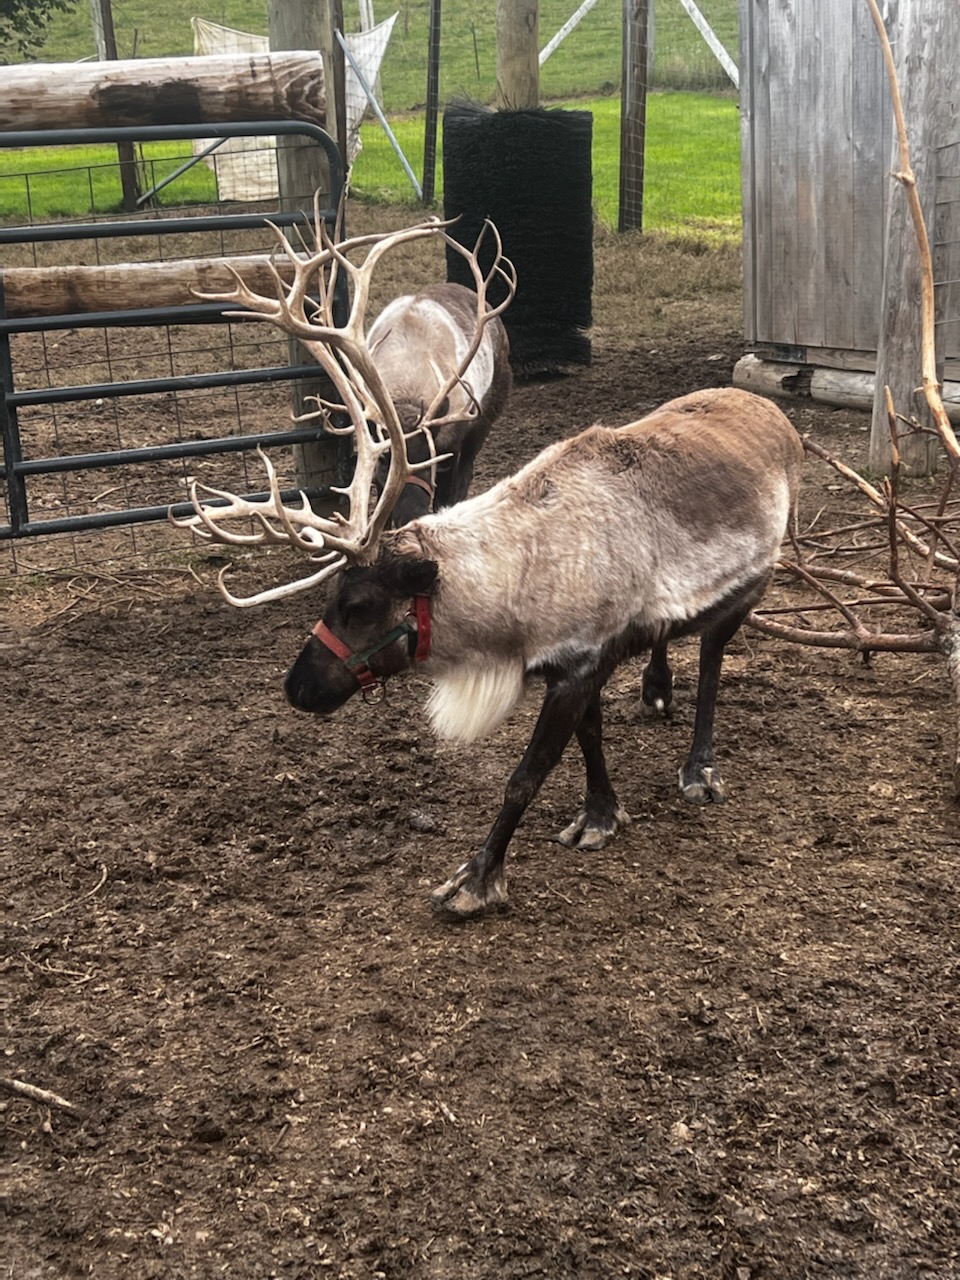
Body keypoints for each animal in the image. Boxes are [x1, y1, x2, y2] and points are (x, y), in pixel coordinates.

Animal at [172, 213, 804, 920]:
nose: (297, 687)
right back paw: (656, 689)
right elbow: (590, 740)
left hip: (754, 583)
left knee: (715, 659)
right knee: (672, 642)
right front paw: (601, 814)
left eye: (359, 605)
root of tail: (779, 418)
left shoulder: (577, 665)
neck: (513, 592)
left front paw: (476, 878)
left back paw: (699, 768)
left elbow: (524, 778)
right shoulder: (580, 665)